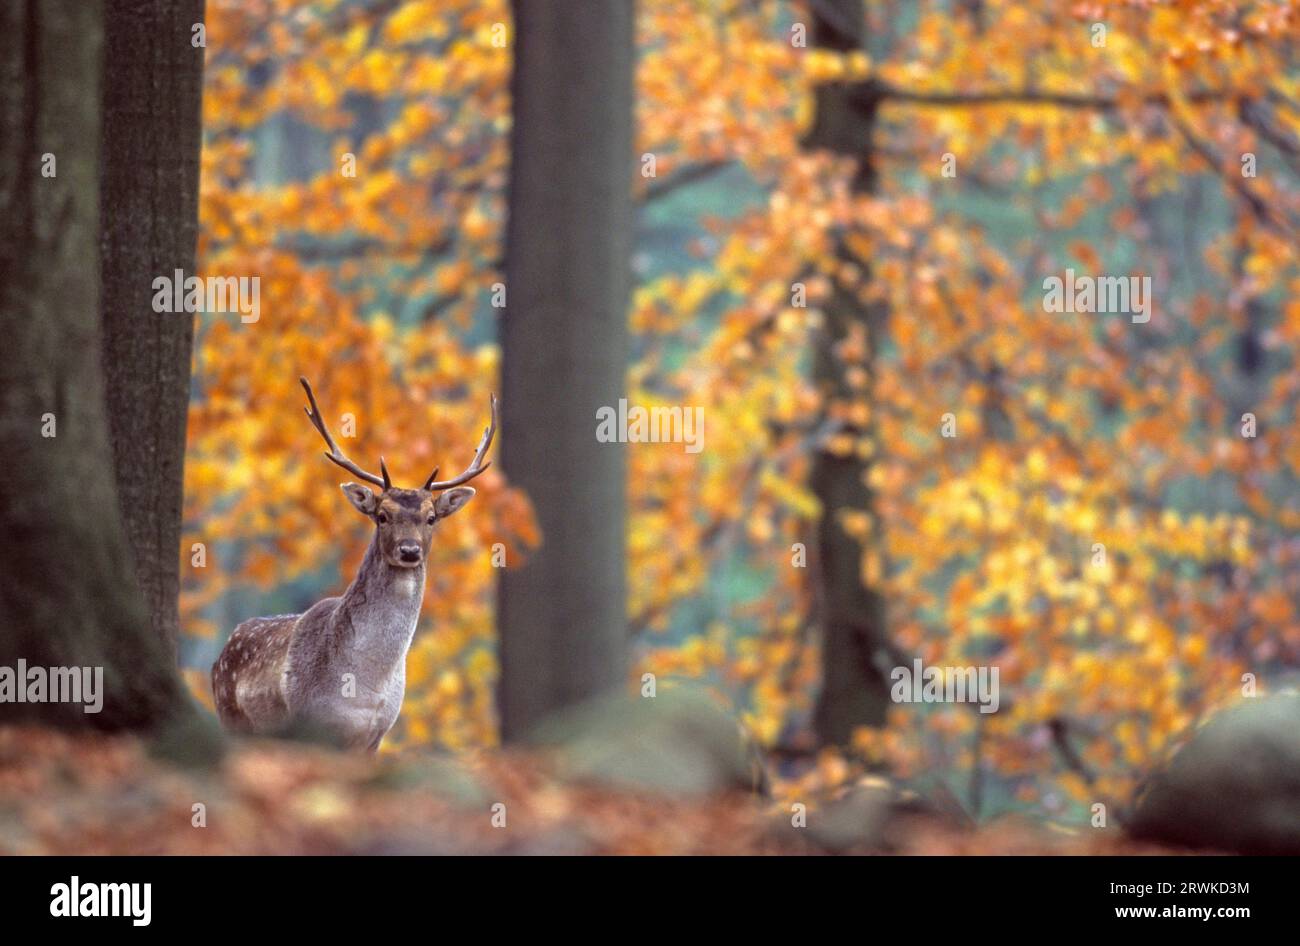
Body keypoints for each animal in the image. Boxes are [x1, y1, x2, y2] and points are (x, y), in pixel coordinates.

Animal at [211, 377, 496, 752]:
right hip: (232, 719)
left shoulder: (376, 735)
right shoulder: (311, 727)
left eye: (431, 517)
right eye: (382, 515)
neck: (363, 689)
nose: (409, 550)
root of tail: (218, 658)